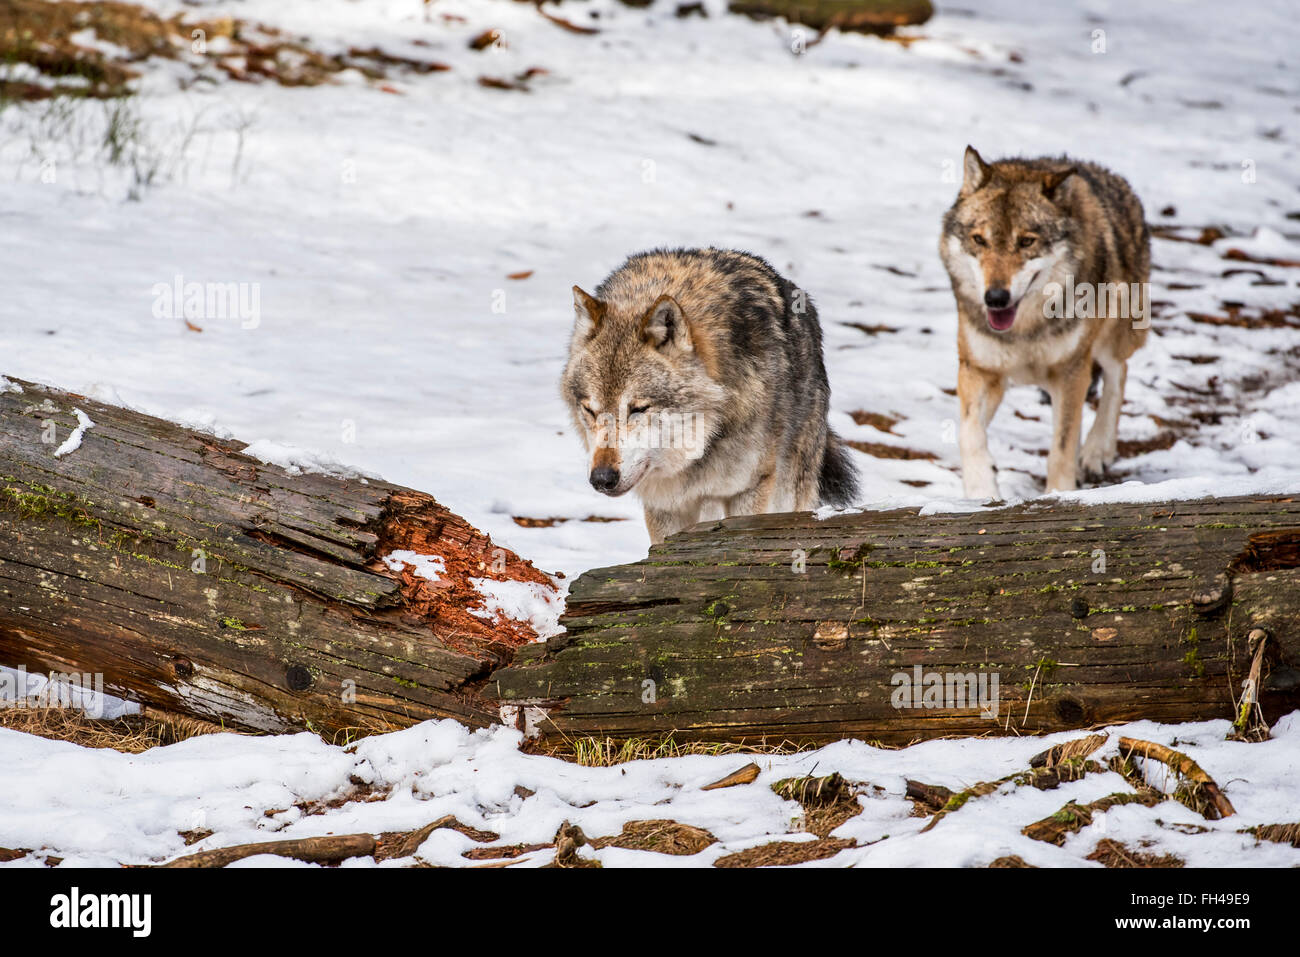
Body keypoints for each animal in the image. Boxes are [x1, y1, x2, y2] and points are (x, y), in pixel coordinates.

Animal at [939, 146, 1150, 498]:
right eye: (979, 240)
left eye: (1027, 241)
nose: (995, 298)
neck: (1025, 330)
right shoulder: (980, 370)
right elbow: (969, 432)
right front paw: (982, 490)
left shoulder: (1070, 369)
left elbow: (1061, 449)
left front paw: (1060, 493)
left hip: (1108, 337)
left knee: (1117, 373)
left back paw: (1097, 451)